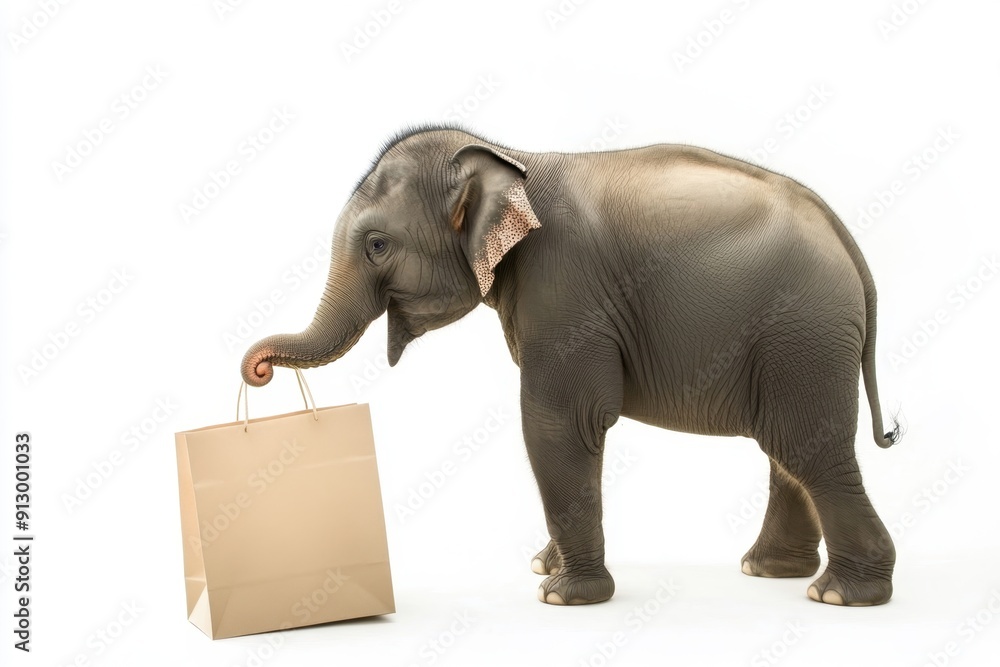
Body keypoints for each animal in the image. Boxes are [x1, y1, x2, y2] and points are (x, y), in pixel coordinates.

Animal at [241, 126, 900, 607]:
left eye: (377, 245)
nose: (259, 371)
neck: (508, 157)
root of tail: (851, 245)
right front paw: (544, 566)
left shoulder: (565, 290)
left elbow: (558, 422)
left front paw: (561, 595)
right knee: (786, 450)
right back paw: (769, 571)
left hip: (803, 335)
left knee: (806, 447)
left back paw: (840, 595)